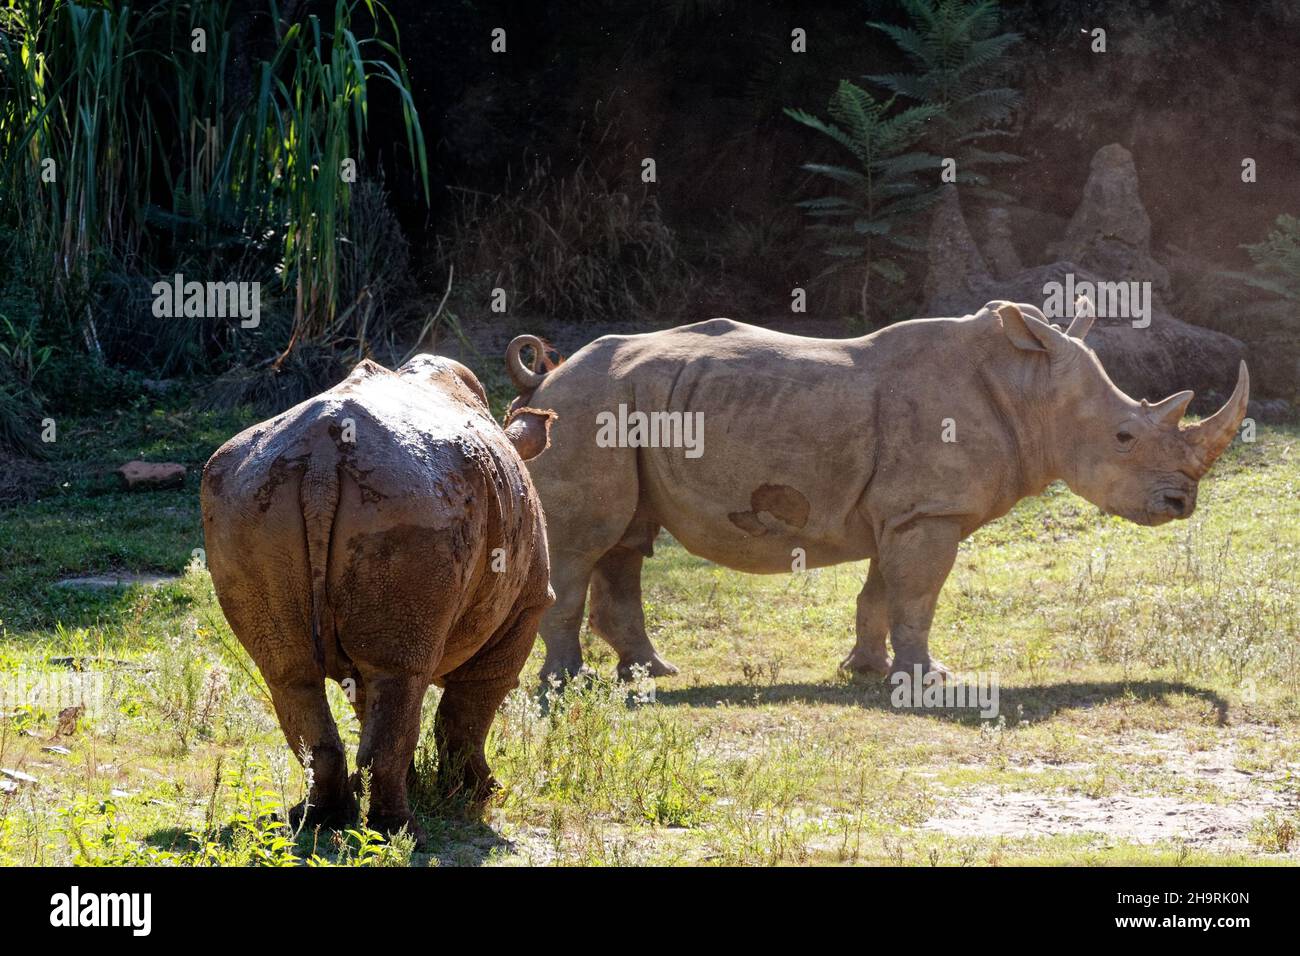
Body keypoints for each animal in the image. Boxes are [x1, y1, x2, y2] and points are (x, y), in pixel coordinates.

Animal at [201, 355, 555, 841]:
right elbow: (471, 707)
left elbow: (372, 702)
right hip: (414, 501)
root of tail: (323, 456)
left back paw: (318, 820)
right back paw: (401, 834)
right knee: (401, 675)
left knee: (290, 673)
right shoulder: (529, 604)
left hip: (245, 500)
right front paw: (480, 795)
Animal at [505, 300, 1248, 683]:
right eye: (1125, 436)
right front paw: (930, 680)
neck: (1030, 388)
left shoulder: (905, 510)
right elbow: (917, 596)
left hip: (624, 406)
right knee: (582, 545)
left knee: (624, 542)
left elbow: (882, 594)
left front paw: (864, 670)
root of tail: (547, 376)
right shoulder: (929, 511)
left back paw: (654, 673)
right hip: (588, 408)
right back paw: (569, 683)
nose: (1181, 504)